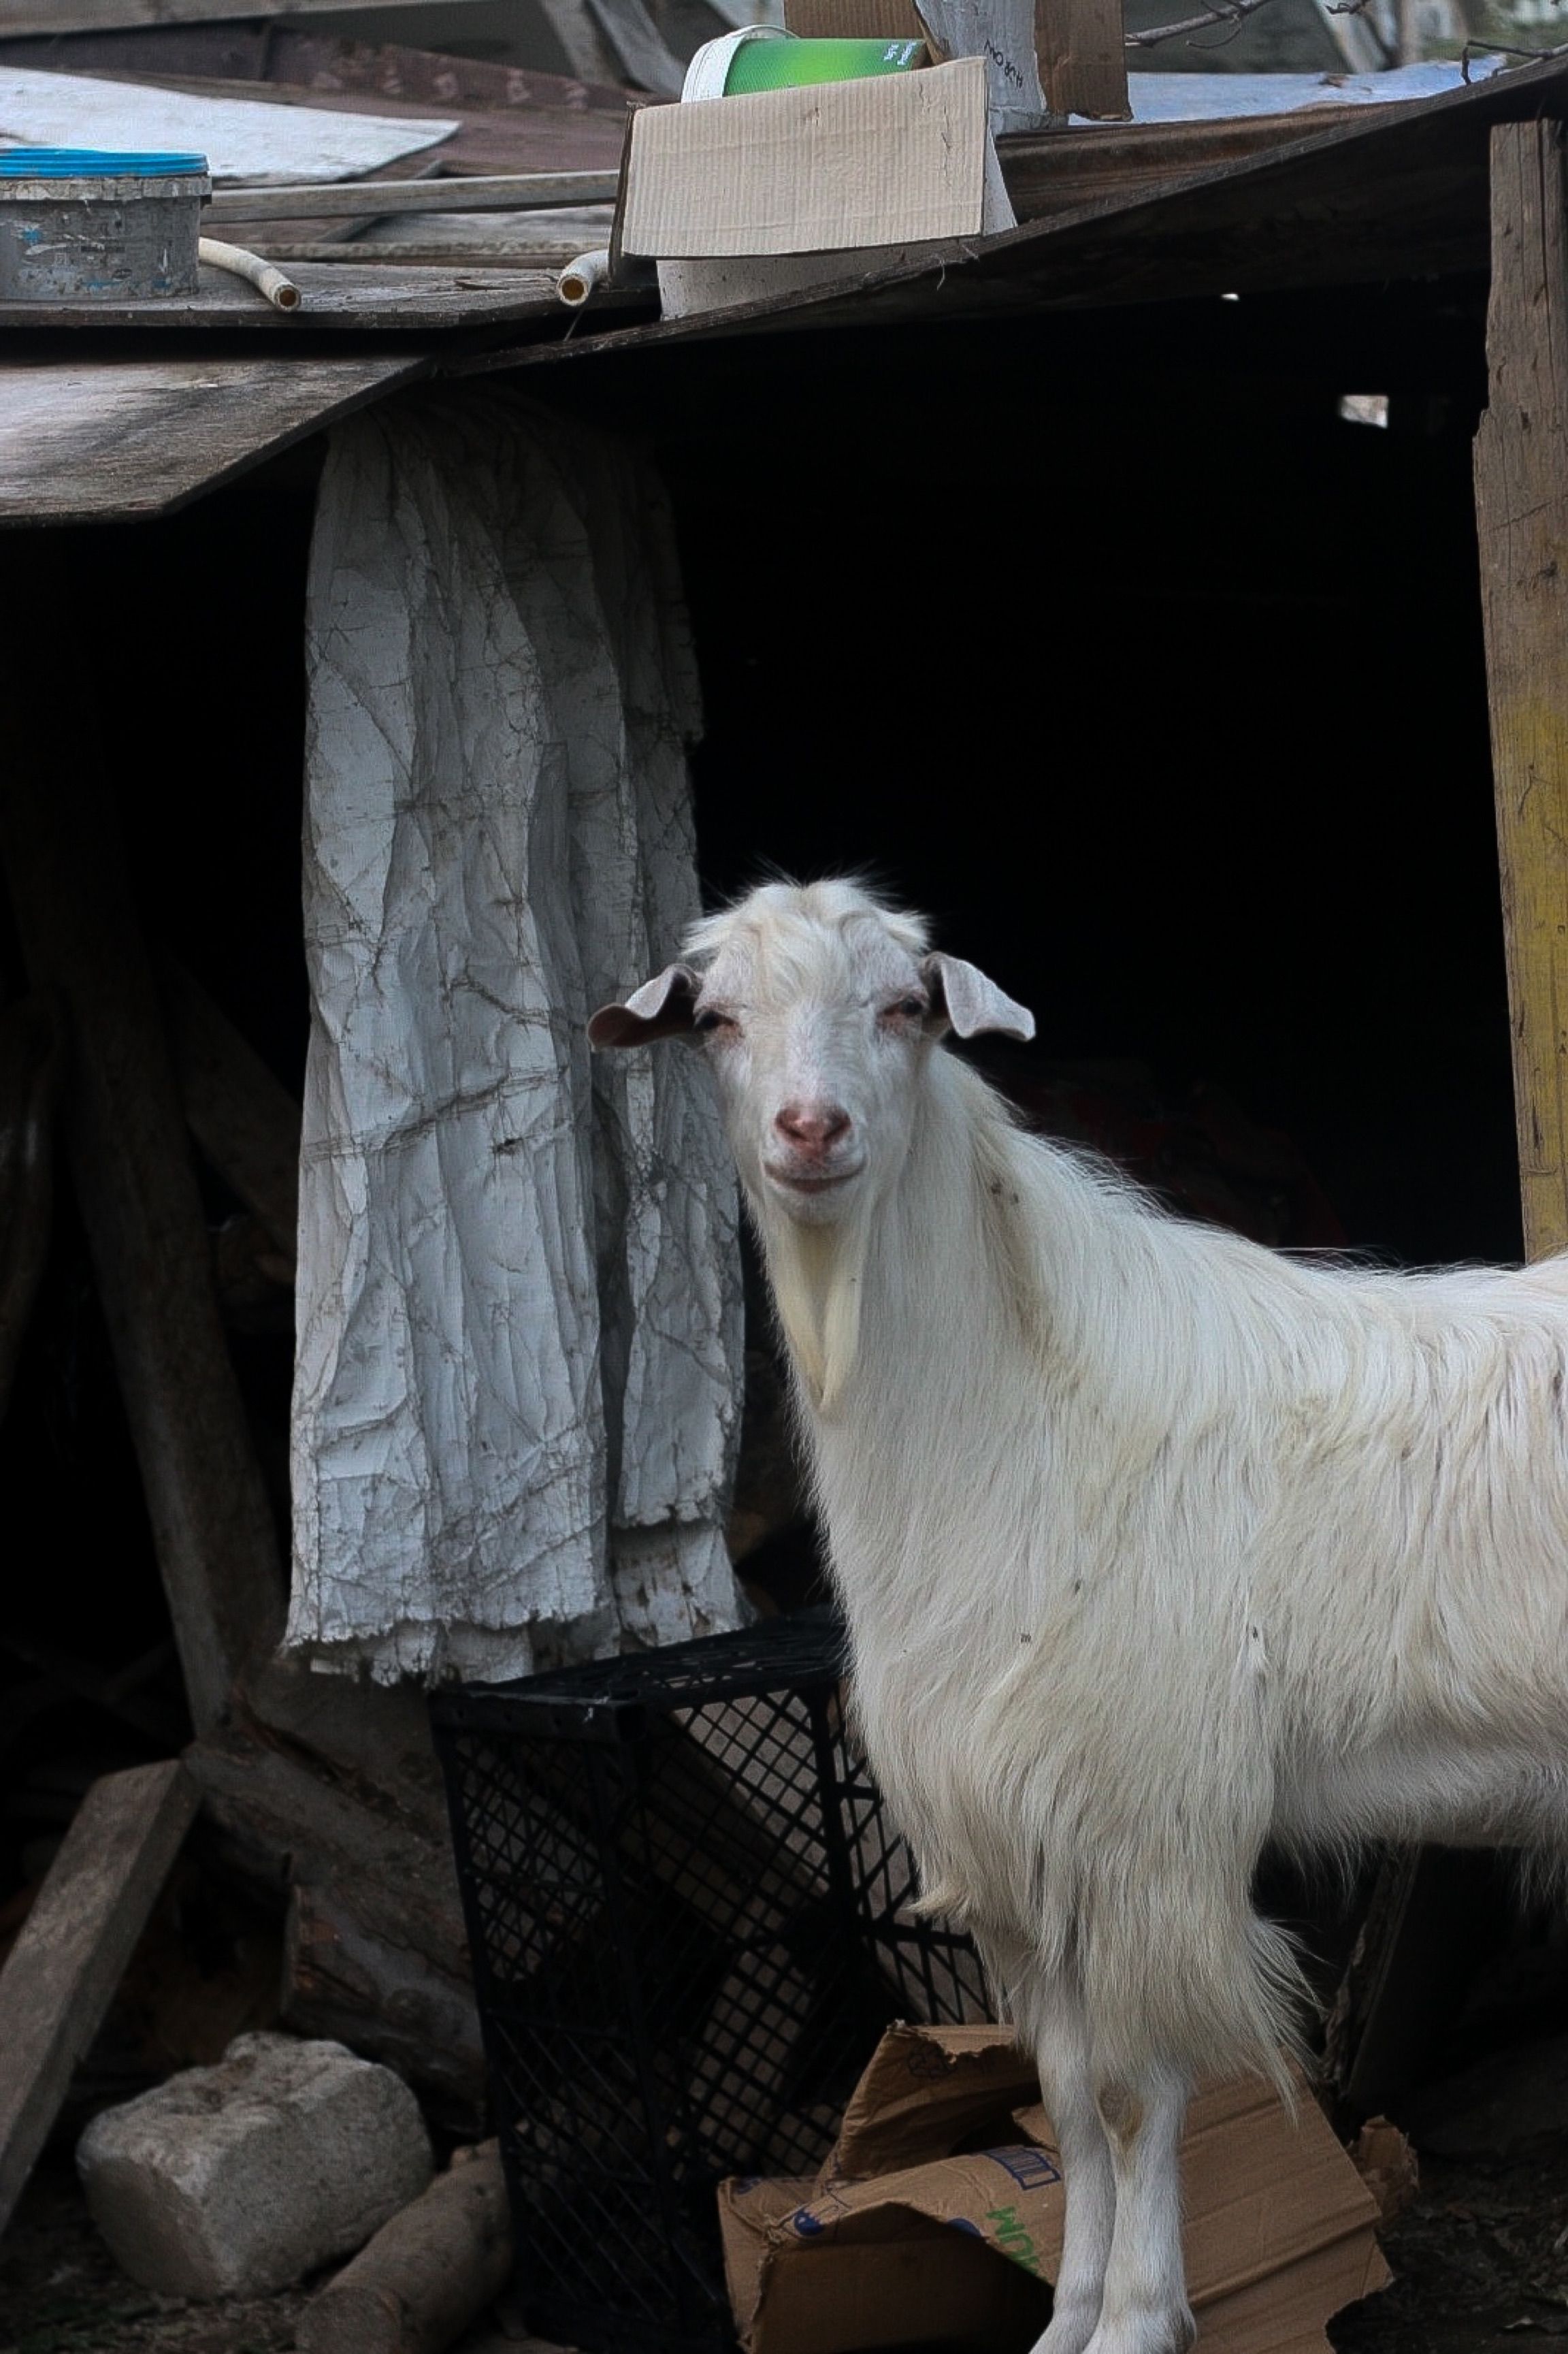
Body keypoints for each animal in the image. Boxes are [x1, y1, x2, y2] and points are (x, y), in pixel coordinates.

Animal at [590, 877, 1568, 2354]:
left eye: (904, 1006)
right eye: (714, 1018)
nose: (809, 1130)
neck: (1029, 1402)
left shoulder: (1139, 1818)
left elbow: (1124, 2090)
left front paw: (1139, 2320)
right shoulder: (1019, 1827)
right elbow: (1060, 2089)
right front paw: (1068, 2322)